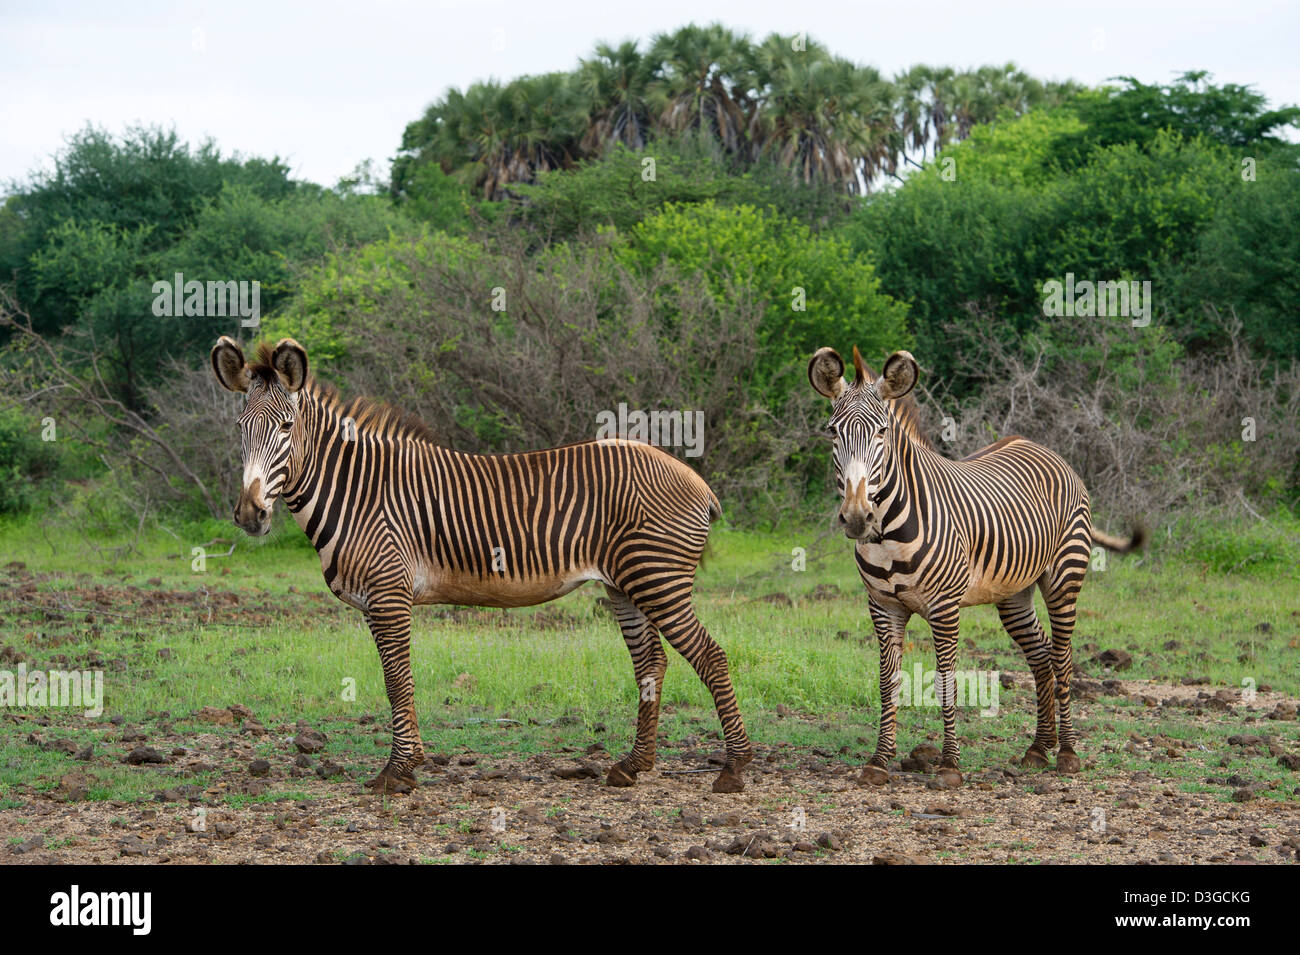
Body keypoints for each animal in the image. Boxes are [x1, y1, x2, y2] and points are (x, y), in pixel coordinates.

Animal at [210, 336, 753, 793]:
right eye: (239, 430)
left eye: (286, 427)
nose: (251, 515)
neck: (358, 493)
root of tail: (694, 478)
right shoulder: (376, 601)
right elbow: (397, 679)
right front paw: (409, 765)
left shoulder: (389, 594)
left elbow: (396, 680)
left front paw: (398, 772)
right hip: (625, 584)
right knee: (652, 663)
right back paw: (633, 766)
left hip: (658, 579)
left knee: (710, 656)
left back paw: (734, 768)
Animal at [808, 346, 1142, 786]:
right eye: (833, 432)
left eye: (882, 433)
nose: (857, 517)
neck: (888, 534)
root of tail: (1041, 447)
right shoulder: (883, 606)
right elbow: (887, 681)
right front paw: (879, 760)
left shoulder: (944, 607)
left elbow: (947, 680)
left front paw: (949, 765)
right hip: (1014, 593)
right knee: (1041, 656)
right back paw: (1039, 748)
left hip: (1064, 577)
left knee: (1063, 657)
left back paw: (1068, 752)